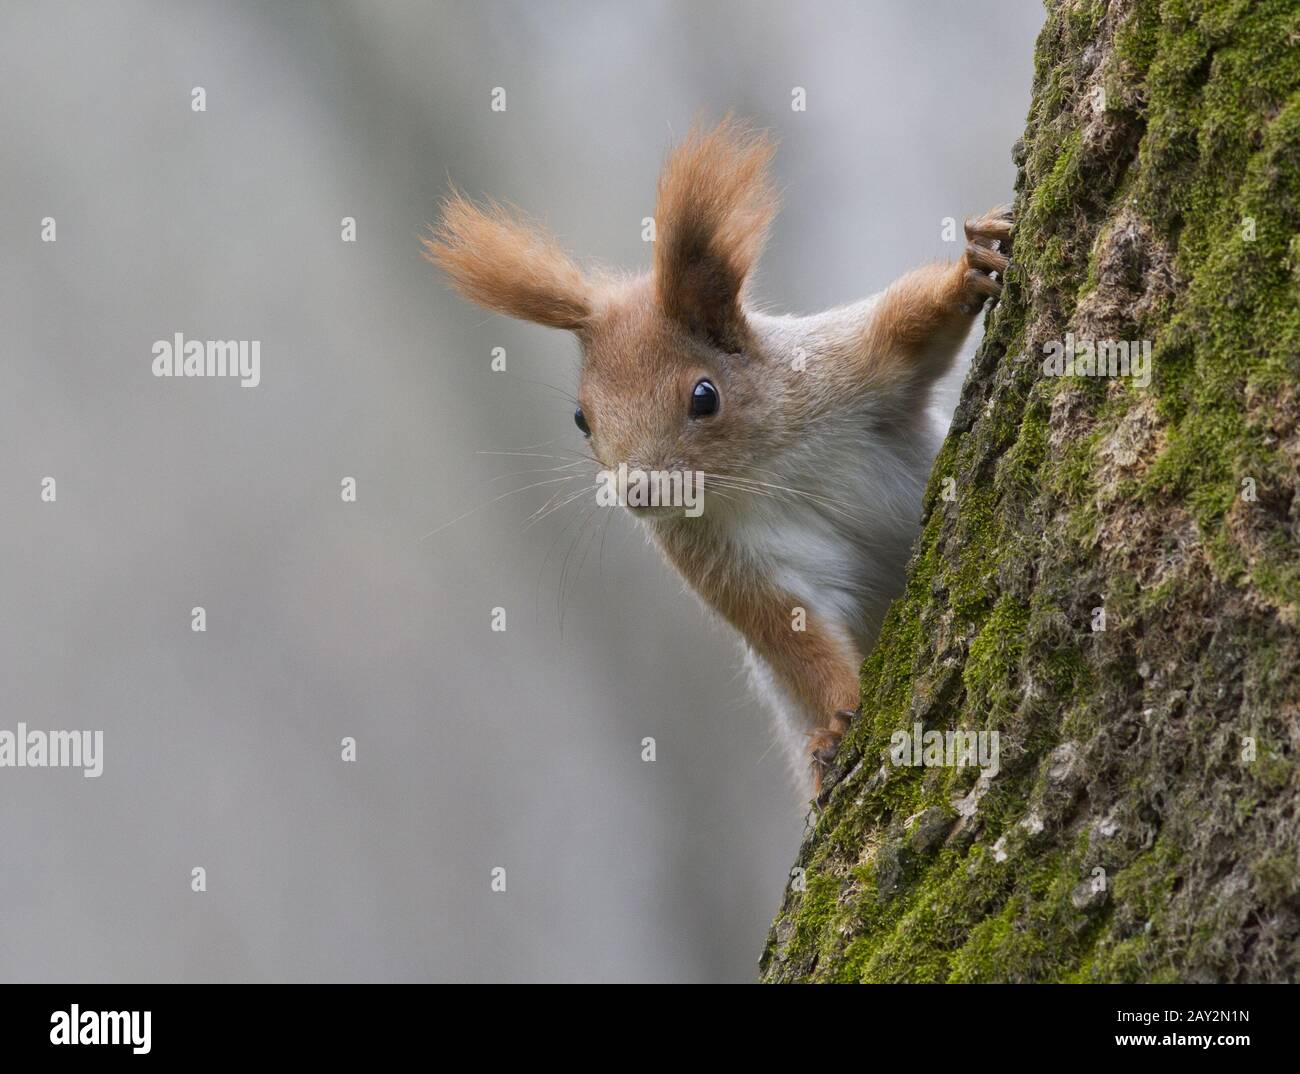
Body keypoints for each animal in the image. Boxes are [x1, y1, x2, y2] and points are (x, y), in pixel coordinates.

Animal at [424, 118, 1011, 799]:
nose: (639, 492)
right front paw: (835, 725)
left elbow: (910, 322)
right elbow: (791, 638)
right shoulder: (721, 560)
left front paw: (971, 266)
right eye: (580, 419)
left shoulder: (847, 366)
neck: (761, 470)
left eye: (704, 396)